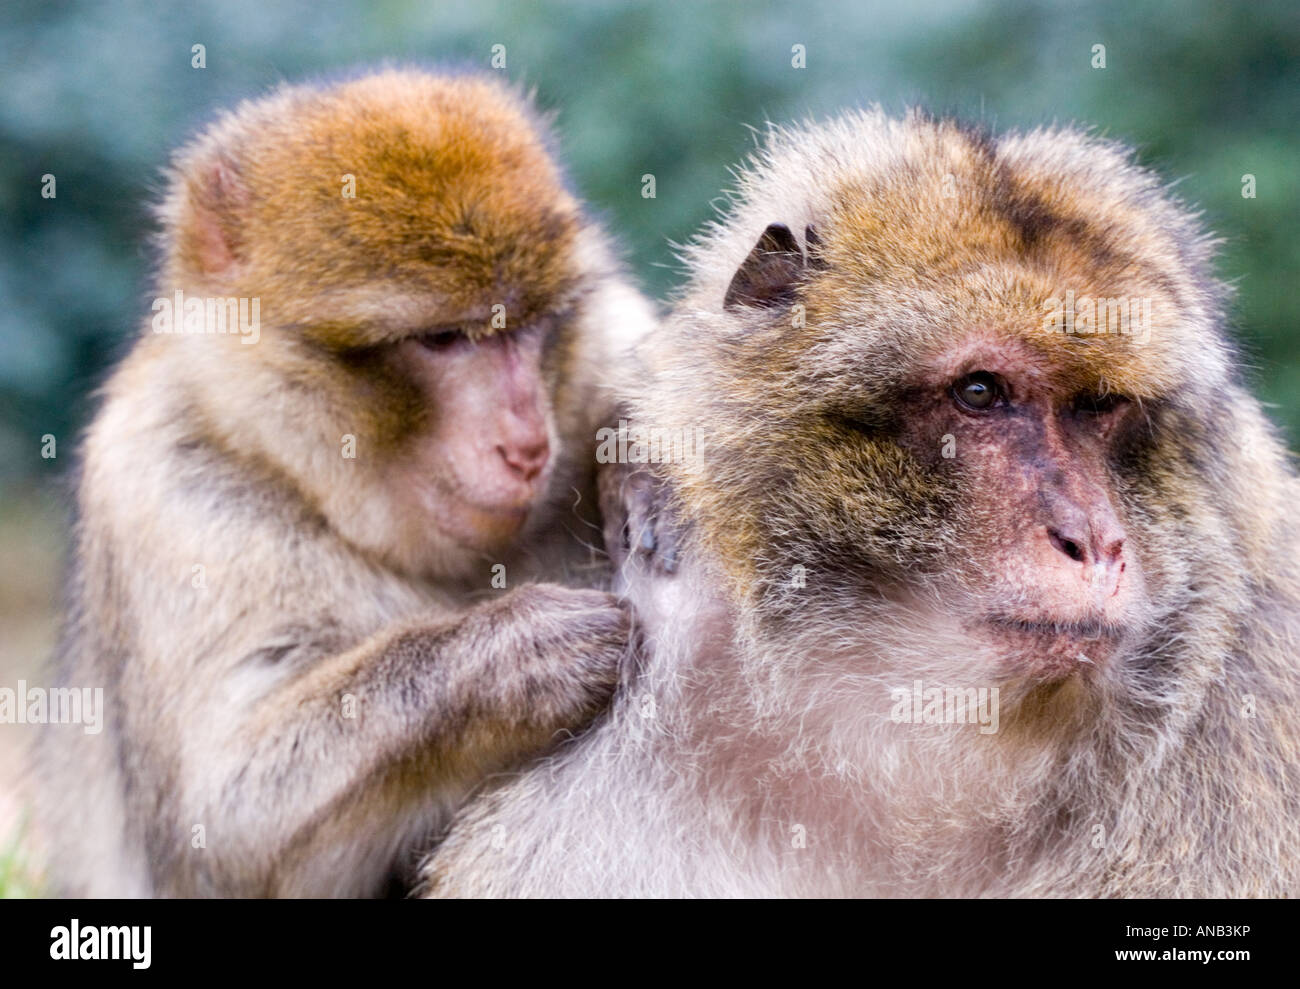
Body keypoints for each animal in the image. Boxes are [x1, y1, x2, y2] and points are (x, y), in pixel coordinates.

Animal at [33, 68, 656, 897]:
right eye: (444, 339)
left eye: (525, 327)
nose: (526, 443)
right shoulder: (165, 493)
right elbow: (222, 833)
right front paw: (513, 653)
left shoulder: (612, 346)